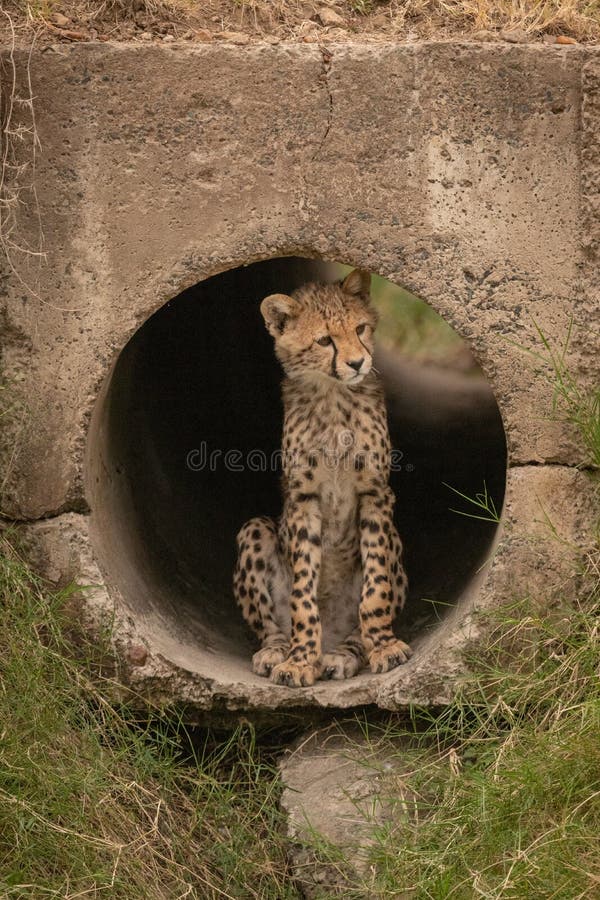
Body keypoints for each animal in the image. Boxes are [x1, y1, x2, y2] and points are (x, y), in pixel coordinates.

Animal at [233, 268, 412, 687]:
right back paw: (278, 652)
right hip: (255, 528)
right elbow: (303, 593)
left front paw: (385, 647)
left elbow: (377, 586)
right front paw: (300, 660)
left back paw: (343, 655)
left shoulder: (375, 493)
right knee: (270, 626)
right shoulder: (304, 498)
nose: (358, 363)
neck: (333, 395)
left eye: (360, 329)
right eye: (325, 340)